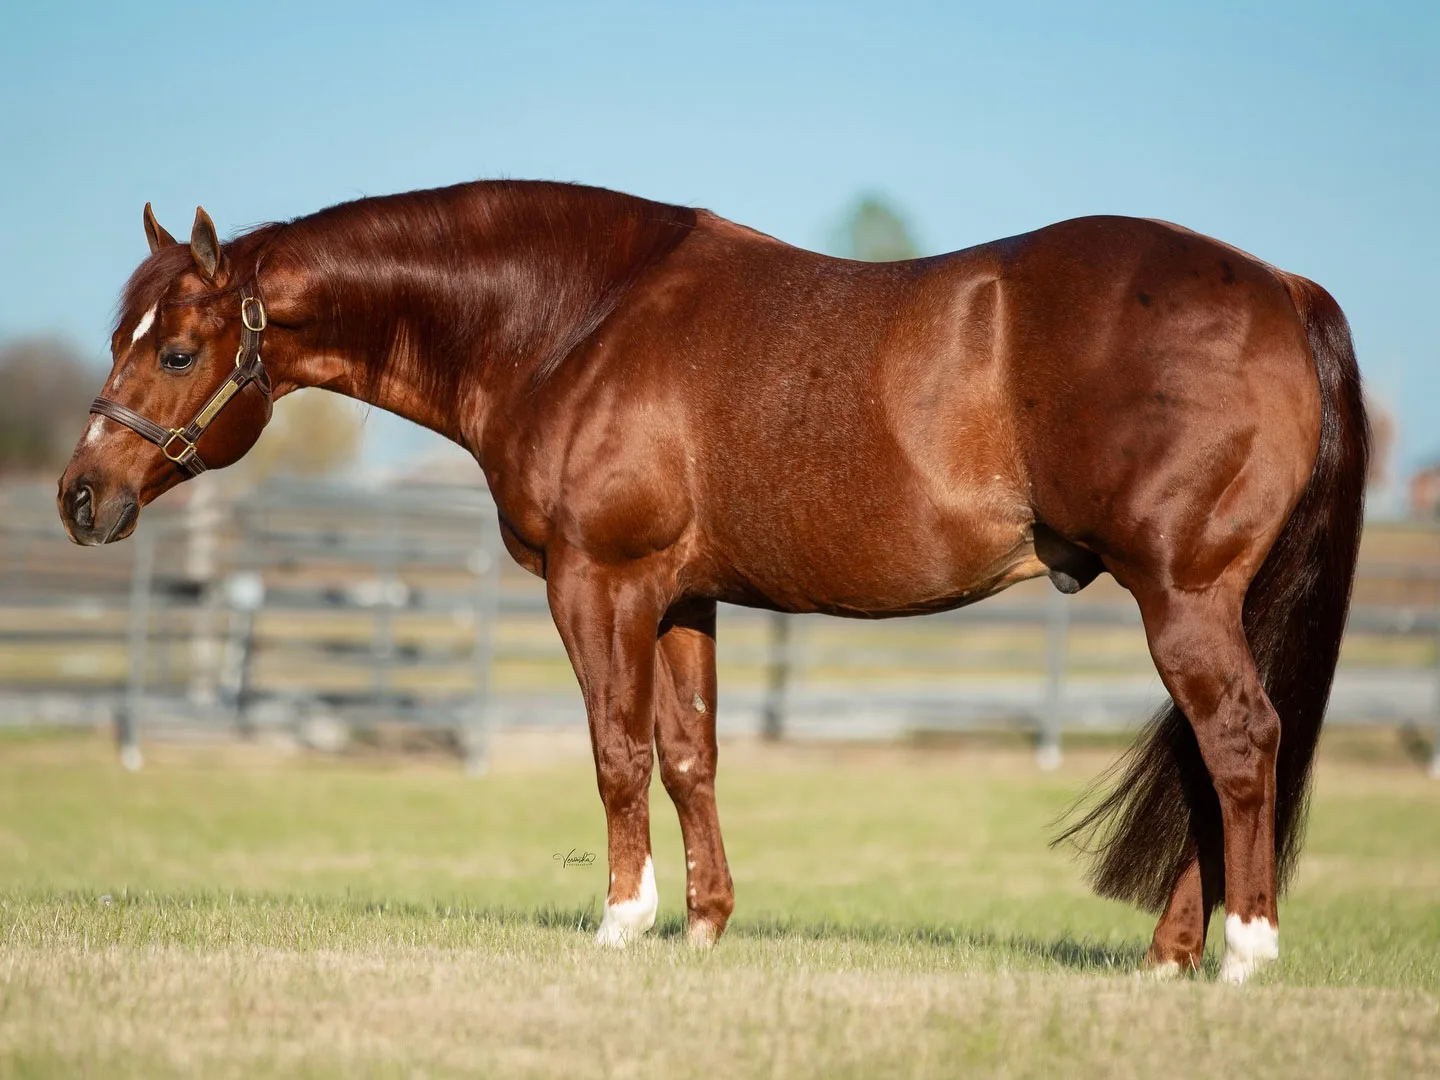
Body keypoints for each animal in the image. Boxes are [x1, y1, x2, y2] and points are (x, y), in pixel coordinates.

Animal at [58, 181, 1367, 982]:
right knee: (1211, 758)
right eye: (125, 338)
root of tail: (1282, 288)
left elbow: (616, 750)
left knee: (1239, 742)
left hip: (1182, 593)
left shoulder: (600, 581)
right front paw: (704, 928)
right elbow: (690, 755)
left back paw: (1244, 953)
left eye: (178, 351)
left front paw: (621, 922)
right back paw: (1170, 956)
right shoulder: (684, 597)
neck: (572, 321)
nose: (80, 496)